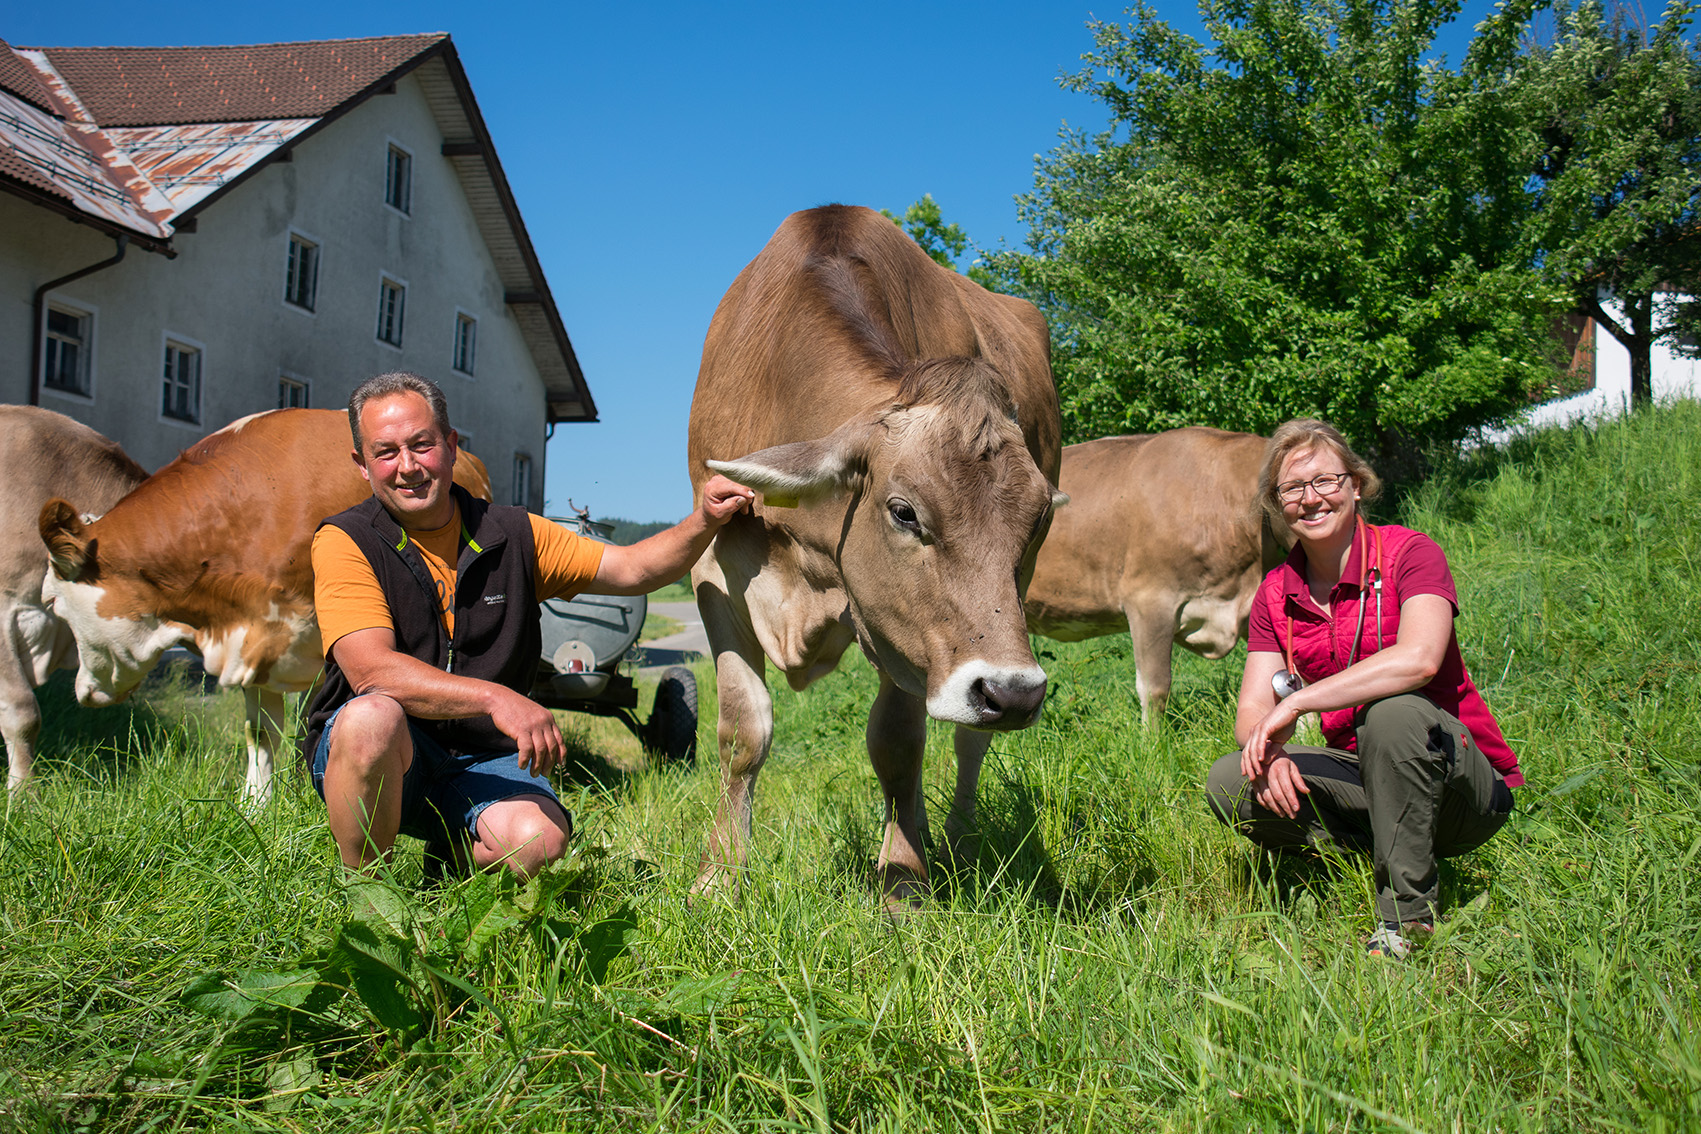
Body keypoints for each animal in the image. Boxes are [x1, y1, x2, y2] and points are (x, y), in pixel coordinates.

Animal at [687, 204, 1064, 909]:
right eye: (904, 511)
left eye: (1039, 519)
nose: (1014, 693)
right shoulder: (714, 573)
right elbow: (742, 730)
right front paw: (720, 875)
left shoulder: (899, 629)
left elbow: (896, 743)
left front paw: (904, 880)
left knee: (969, 738)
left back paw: (957, 838)